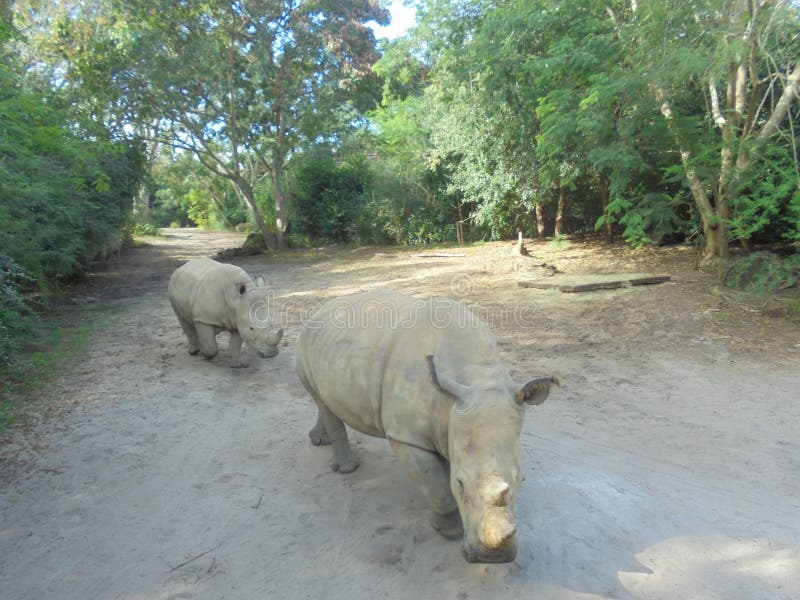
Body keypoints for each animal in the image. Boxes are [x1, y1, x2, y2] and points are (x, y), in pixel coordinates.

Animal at [295, 289, 557, 563]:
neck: (476, 374)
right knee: (320, 398)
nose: (493, 559)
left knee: (324, 399)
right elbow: (438, 488)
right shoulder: (406, 437)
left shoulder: (453, 416)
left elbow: (444, 468)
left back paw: (319, 440)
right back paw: (346, 469)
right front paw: (450, 531)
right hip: (305, 342)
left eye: (518, 480)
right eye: (461, 484)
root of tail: (322, 308)